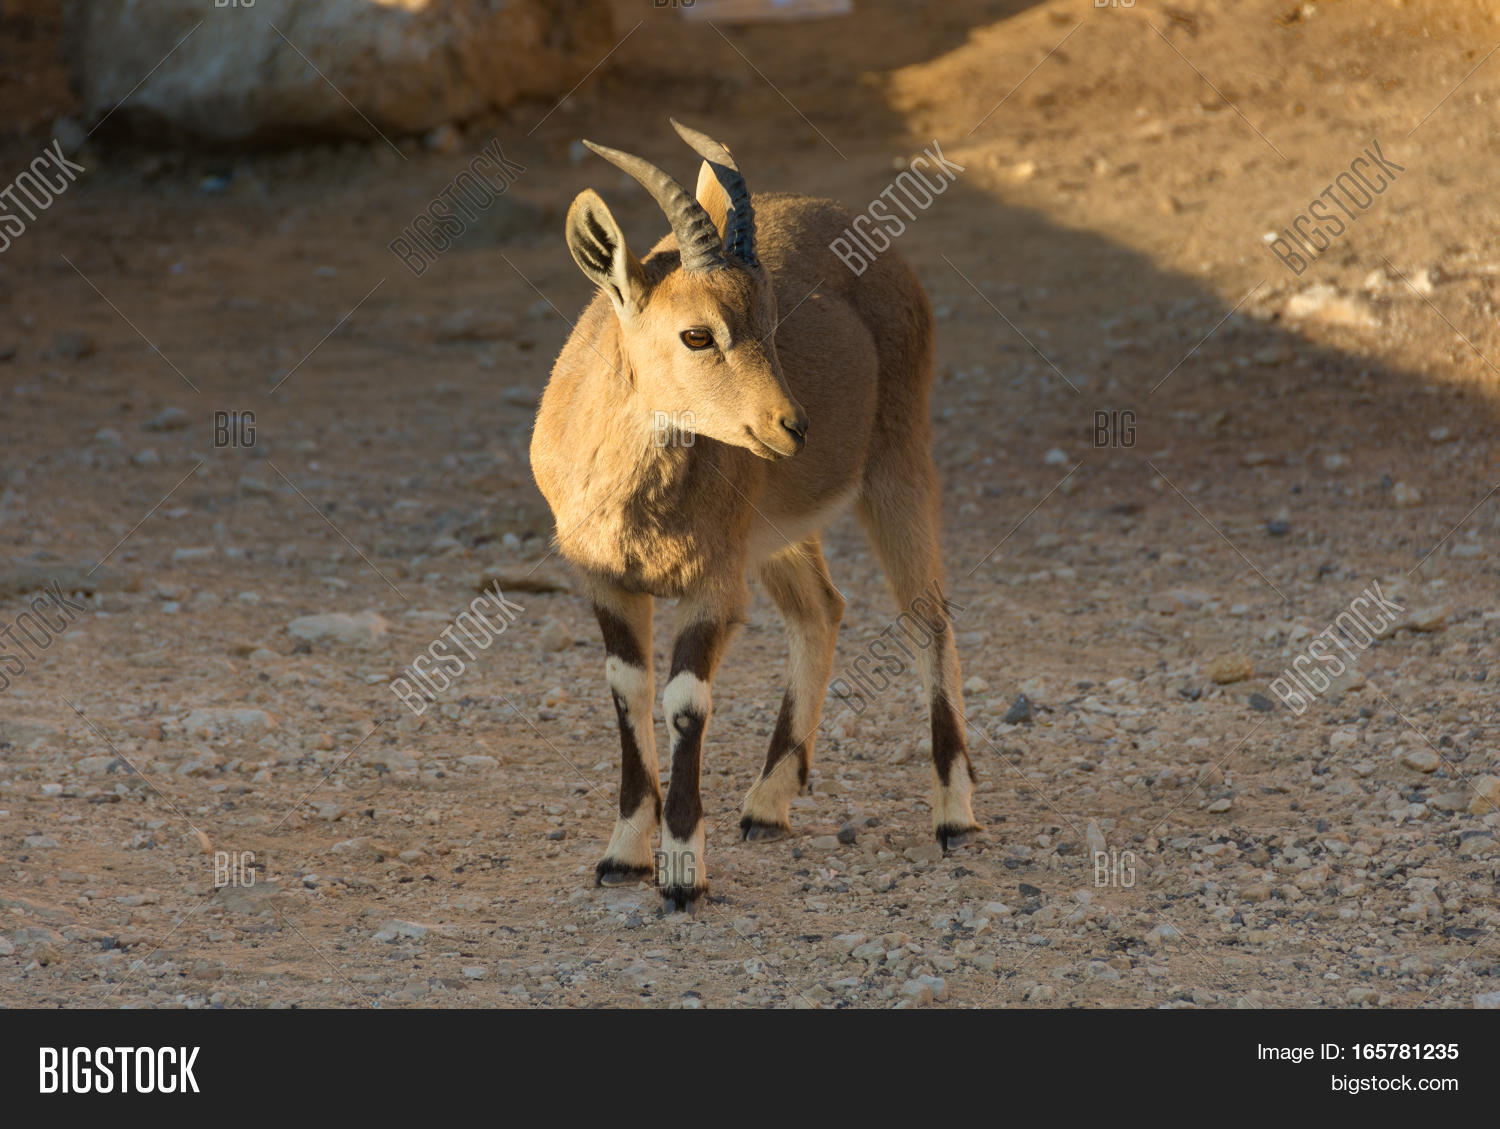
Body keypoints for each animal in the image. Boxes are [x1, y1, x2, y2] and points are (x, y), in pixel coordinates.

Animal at [530, 121, 977, 908]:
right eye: (697, 334)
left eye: (771, 322)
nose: (791, 425)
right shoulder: (607, 581)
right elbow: (627, 689)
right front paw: (623, 855)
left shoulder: (715, 582)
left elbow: (684, 700)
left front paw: (682, 873)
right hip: (777, 534)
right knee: (822, 609)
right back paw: (768, 802)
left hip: (897, 464)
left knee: (928, 616)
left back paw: (954, 816)